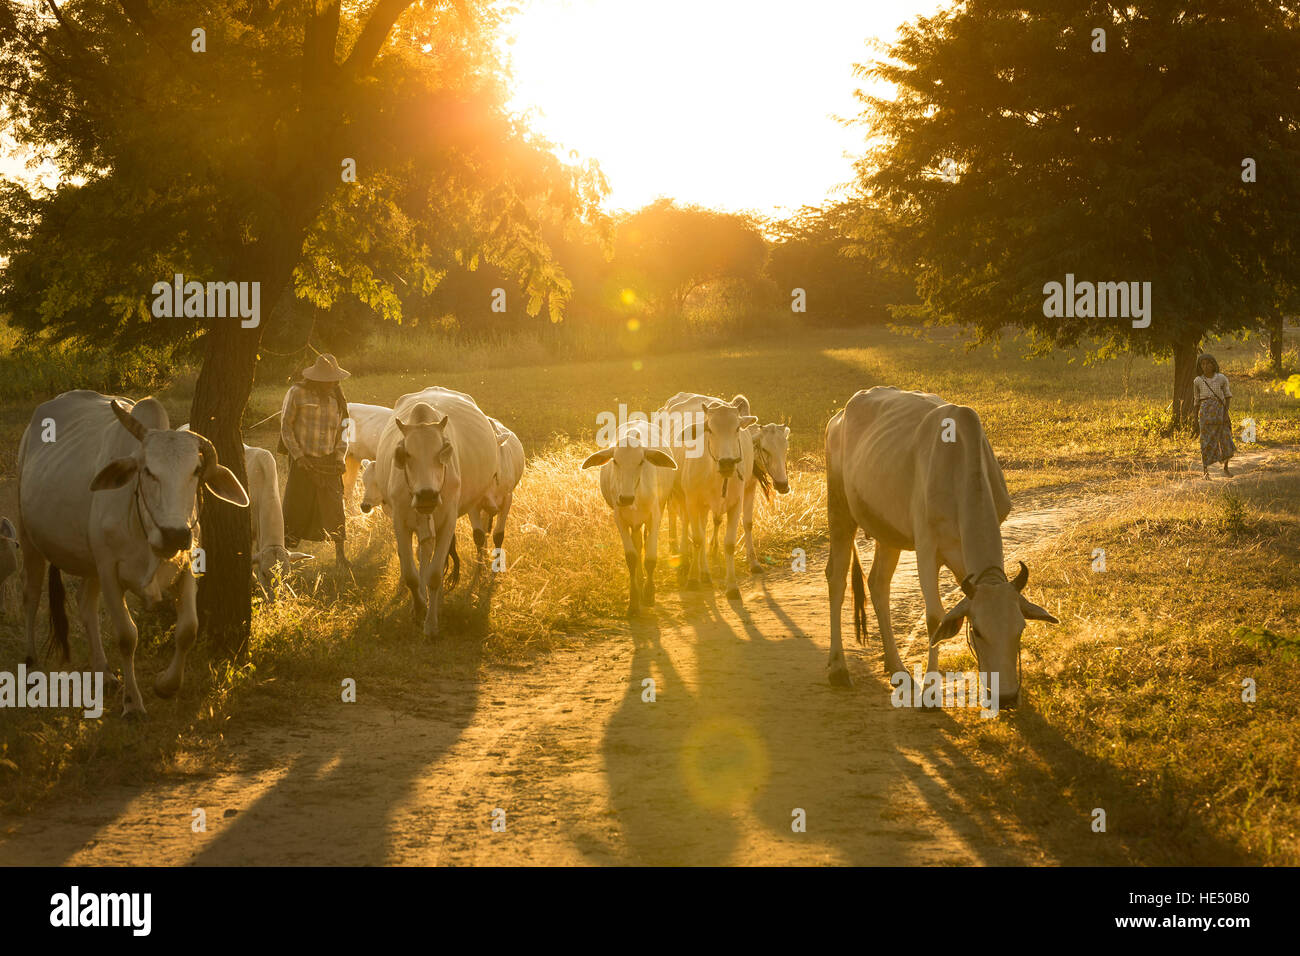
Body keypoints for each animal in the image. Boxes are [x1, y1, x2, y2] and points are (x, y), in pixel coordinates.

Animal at [17, 392, 249, 716]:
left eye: (196, 471)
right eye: (148, 471)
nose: (175, 534)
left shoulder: (186, 566)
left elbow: (188, 630)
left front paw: (166, 686)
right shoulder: (109, 570)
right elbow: (127, 637)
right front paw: (133, 704)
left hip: (90, 562)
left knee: (85, 605)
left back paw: (104, 673)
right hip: (28, 537)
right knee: (31, 595)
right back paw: (32, 663)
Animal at [369, 387, 498, 637]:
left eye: (441, 452)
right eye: (406, 454)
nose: (427, 495)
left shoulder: (448, 521)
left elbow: (435, 575)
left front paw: (431, 624)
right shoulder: (400, 521)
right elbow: (411, 574)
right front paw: (419, 608)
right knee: (423, 554)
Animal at [582, 419, 677, 615]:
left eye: (641, 461)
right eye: (615, 461)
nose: (625, 498)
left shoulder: (655, 516)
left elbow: (650, 558)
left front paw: (649, 594)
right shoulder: (620, 520)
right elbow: (632, 557)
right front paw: (634, 601)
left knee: (644, 542)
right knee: (638, 544)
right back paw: (639, 580)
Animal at [660, 393, 757, 598]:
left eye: (737, 428)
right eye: (710, 429)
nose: (727, 463)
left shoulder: (736, 504)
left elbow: (729, 544)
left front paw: (732, 586)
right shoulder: (692, 501)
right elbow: (697, 540)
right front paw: (692, 578)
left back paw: (705, 573)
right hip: (682, 498)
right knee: (688, 526)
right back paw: (689, 562)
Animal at [824, 386, 1058, 707]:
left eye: (1020, 629)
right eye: (979, 632)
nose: (1008, 696)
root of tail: (839, 416)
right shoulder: (927, 548)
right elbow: (935, 617)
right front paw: (930, 694)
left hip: (887, 530)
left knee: (878, 583)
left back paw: (896, 667)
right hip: (839, 509)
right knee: (836, 577)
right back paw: (838, 668)